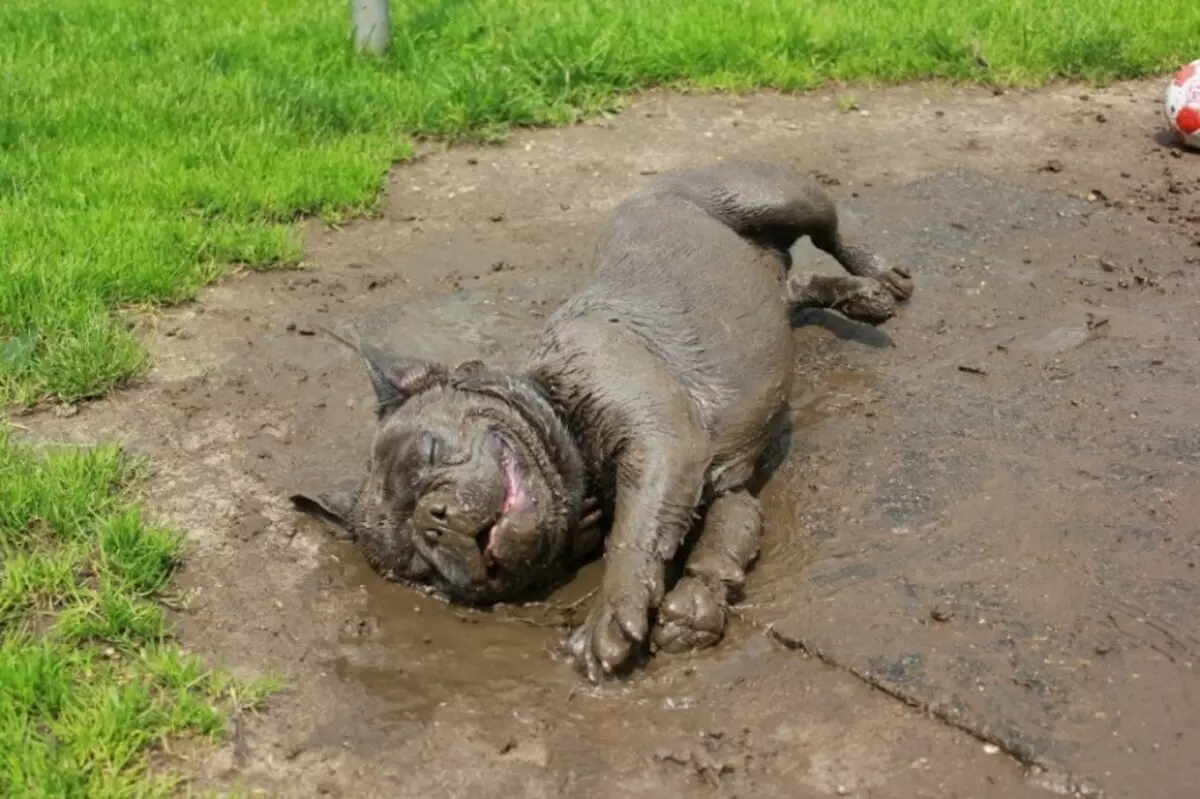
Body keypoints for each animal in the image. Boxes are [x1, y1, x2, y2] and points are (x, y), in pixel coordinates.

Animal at [290, 160, 907, 676]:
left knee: (829, 231)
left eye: (430, 454)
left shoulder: (664, 447)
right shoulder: (723, 485)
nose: (432, 520)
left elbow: (635, 536)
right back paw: (856, 296)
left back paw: (880, 277)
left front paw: (610, 615)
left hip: (771, 196)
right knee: (794, 287)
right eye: (418, 566)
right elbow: (724, 544)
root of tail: (656, 183)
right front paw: (694, 610)